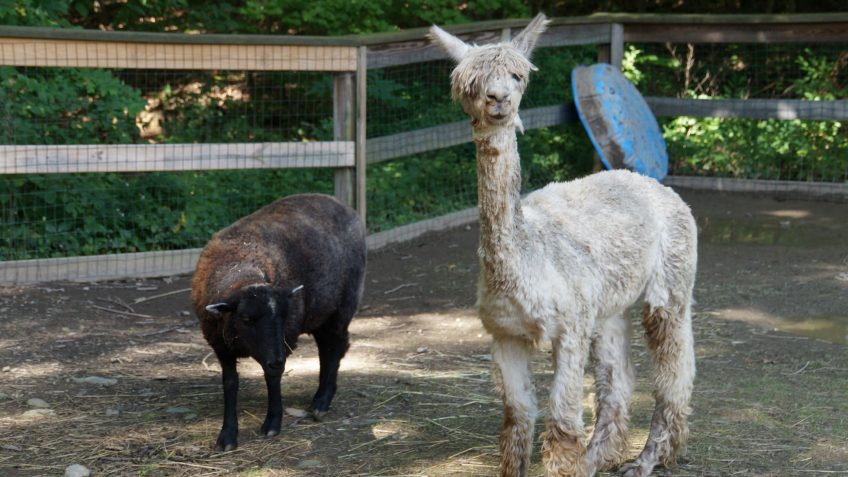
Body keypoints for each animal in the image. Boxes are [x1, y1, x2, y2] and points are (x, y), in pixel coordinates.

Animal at [191, 193, 366, 451]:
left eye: (283, 315)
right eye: (246, 318)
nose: (276, 360)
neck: (242, 271)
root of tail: (339, 202)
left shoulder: (284, 338)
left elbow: (272, 378)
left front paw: (273, 422)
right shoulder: (221, 345)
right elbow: (230, 383)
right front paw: (228, 435)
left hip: (343, 304)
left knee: (335, 347)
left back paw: (322, 401)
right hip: (320, 311)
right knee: (326, 348)